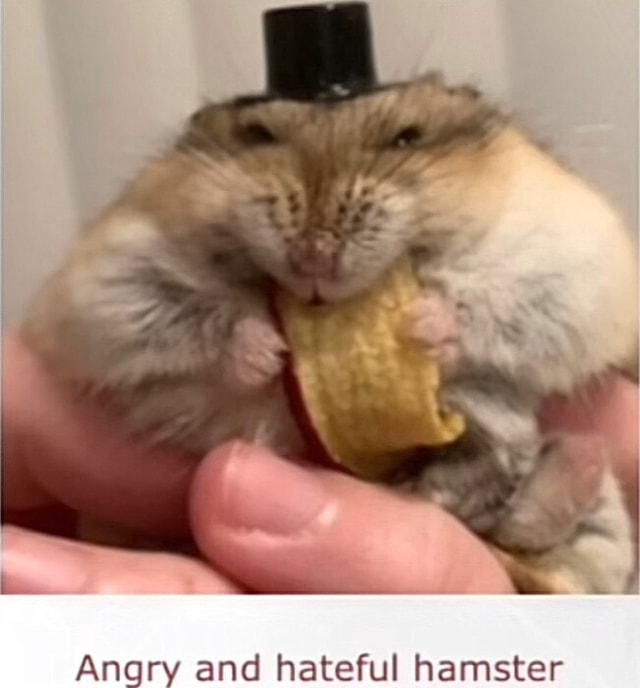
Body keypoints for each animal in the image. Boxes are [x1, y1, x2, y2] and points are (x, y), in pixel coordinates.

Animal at [22, 73, 638, 593]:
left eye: (406, 138)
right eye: (258, 136)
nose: (315, 256)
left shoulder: (569, 263)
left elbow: (491, 305)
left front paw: (423, 324)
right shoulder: (113, 288)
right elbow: (199, 322)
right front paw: (268, 351)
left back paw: (565, 462)